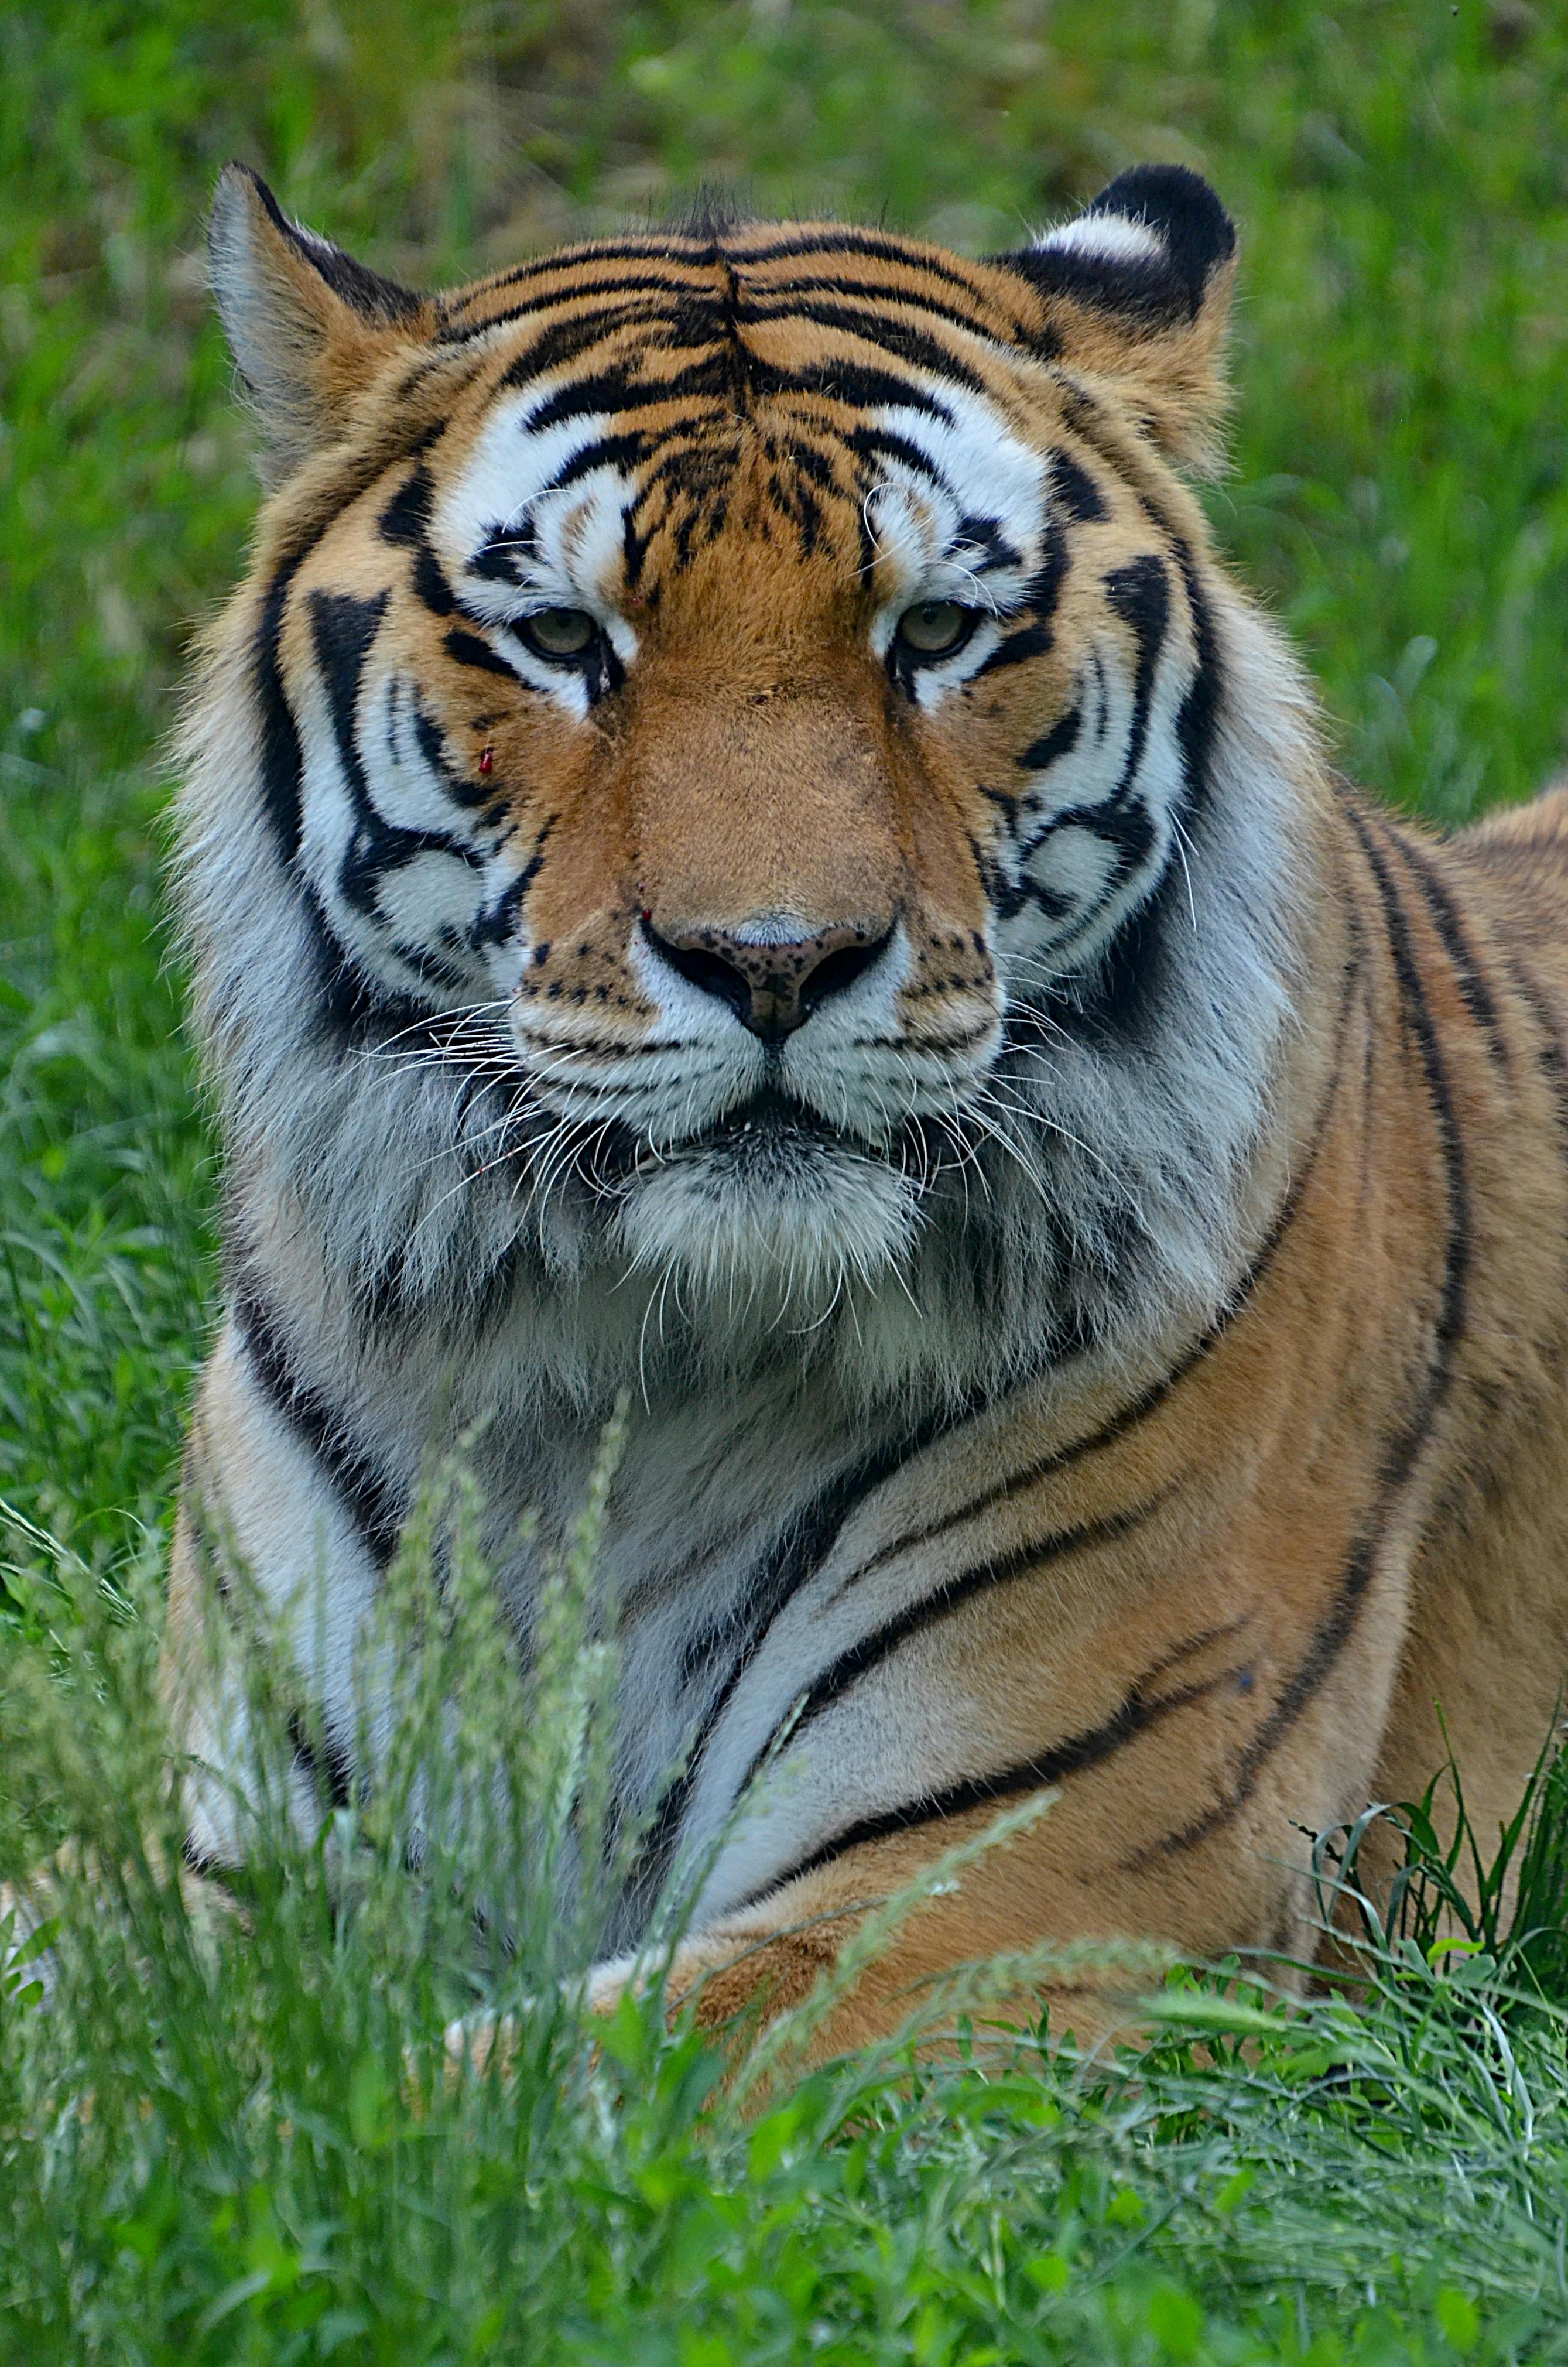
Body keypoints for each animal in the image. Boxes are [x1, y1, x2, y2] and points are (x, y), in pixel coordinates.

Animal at [162, 155, 1568, 2055]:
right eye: (562, 641)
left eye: (936, 635)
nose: (774, 960)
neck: (633, 1373)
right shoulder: (234, 1847)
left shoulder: (1021, 1882)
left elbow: (499, 2085)